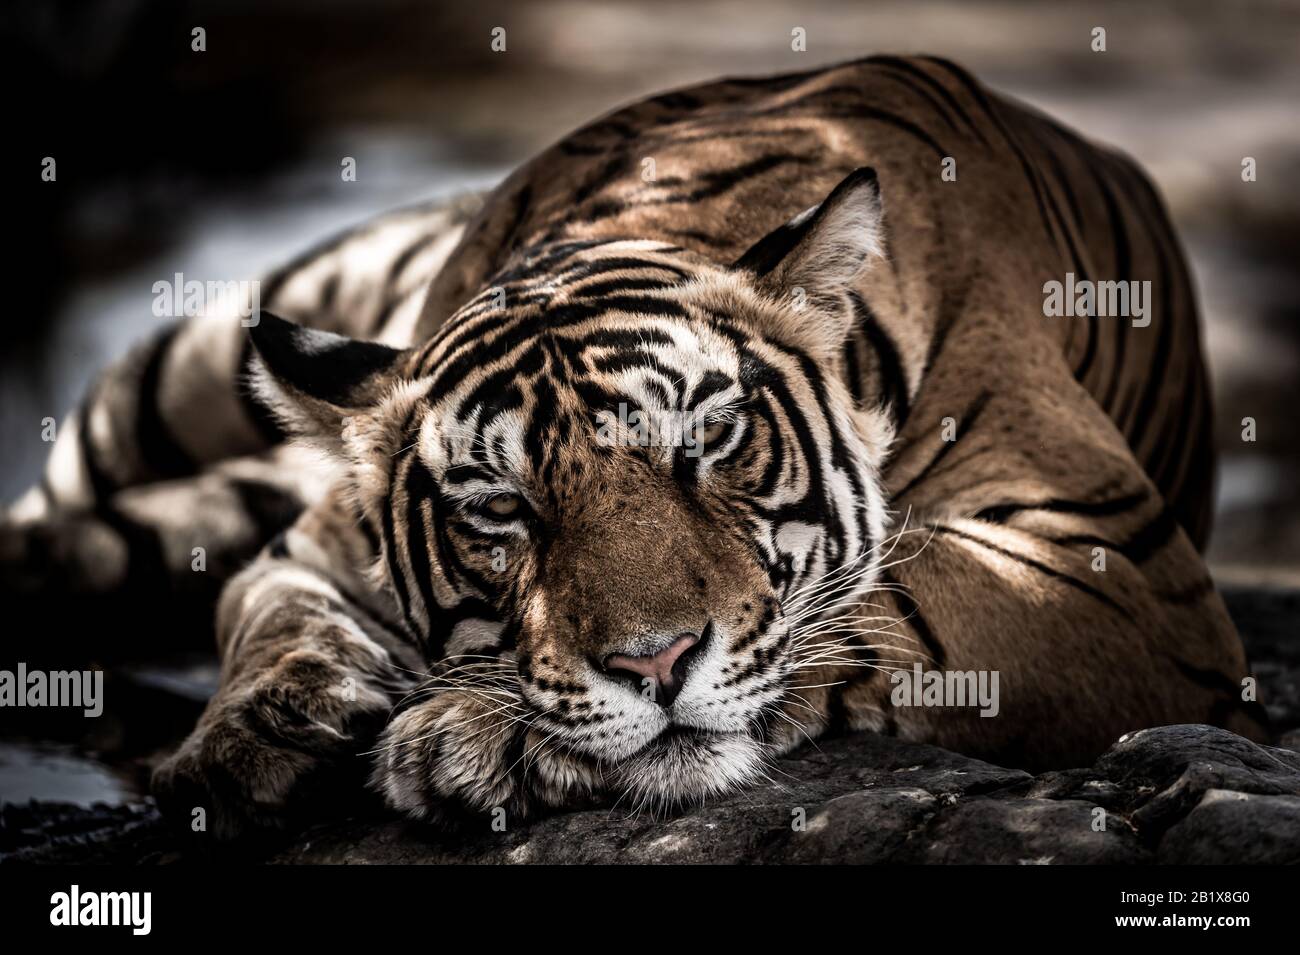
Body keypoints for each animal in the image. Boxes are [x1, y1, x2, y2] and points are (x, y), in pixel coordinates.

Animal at [4, 55, 1268, 838]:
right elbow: (267, 615)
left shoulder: (1116, 560)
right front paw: (248, 739)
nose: (655, 667)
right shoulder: (311, 549)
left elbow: (894, 604)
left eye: (710, 440)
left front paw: (477, 737)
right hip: (186, 366)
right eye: (499, 508)